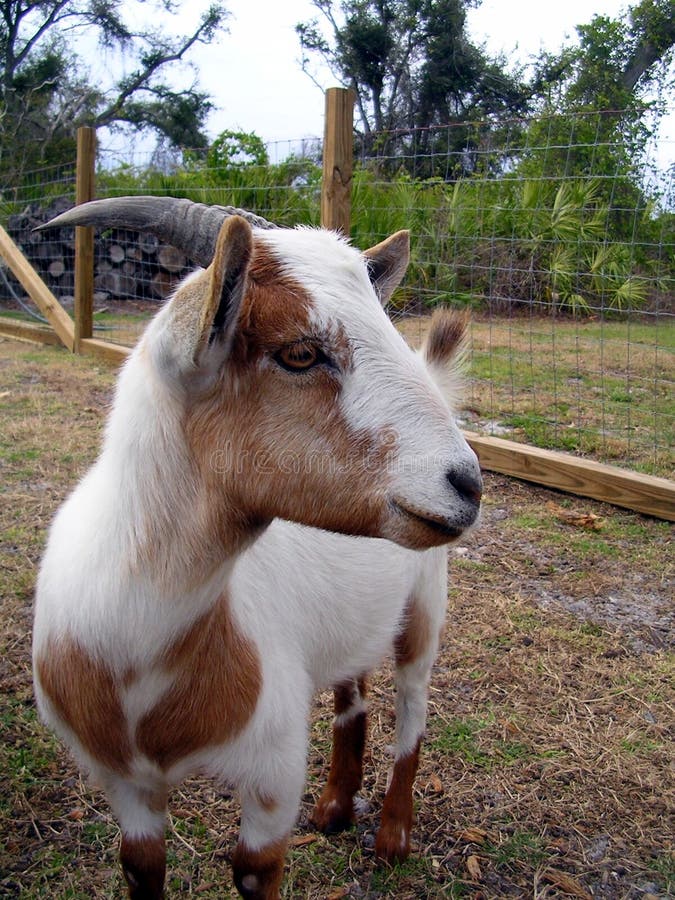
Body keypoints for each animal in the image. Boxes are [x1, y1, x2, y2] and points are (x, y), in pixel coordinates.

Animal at [32, 197, 482, 900]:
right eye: (299, 353)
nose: (468, 483)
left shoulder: (273, 773)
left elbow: (254, 869)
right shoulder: (122, 785)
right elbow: (141, 867)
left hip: (426, 602)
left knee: (412, 702)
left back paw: (392, 837)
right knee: (353, 688)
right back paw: (333, 809)